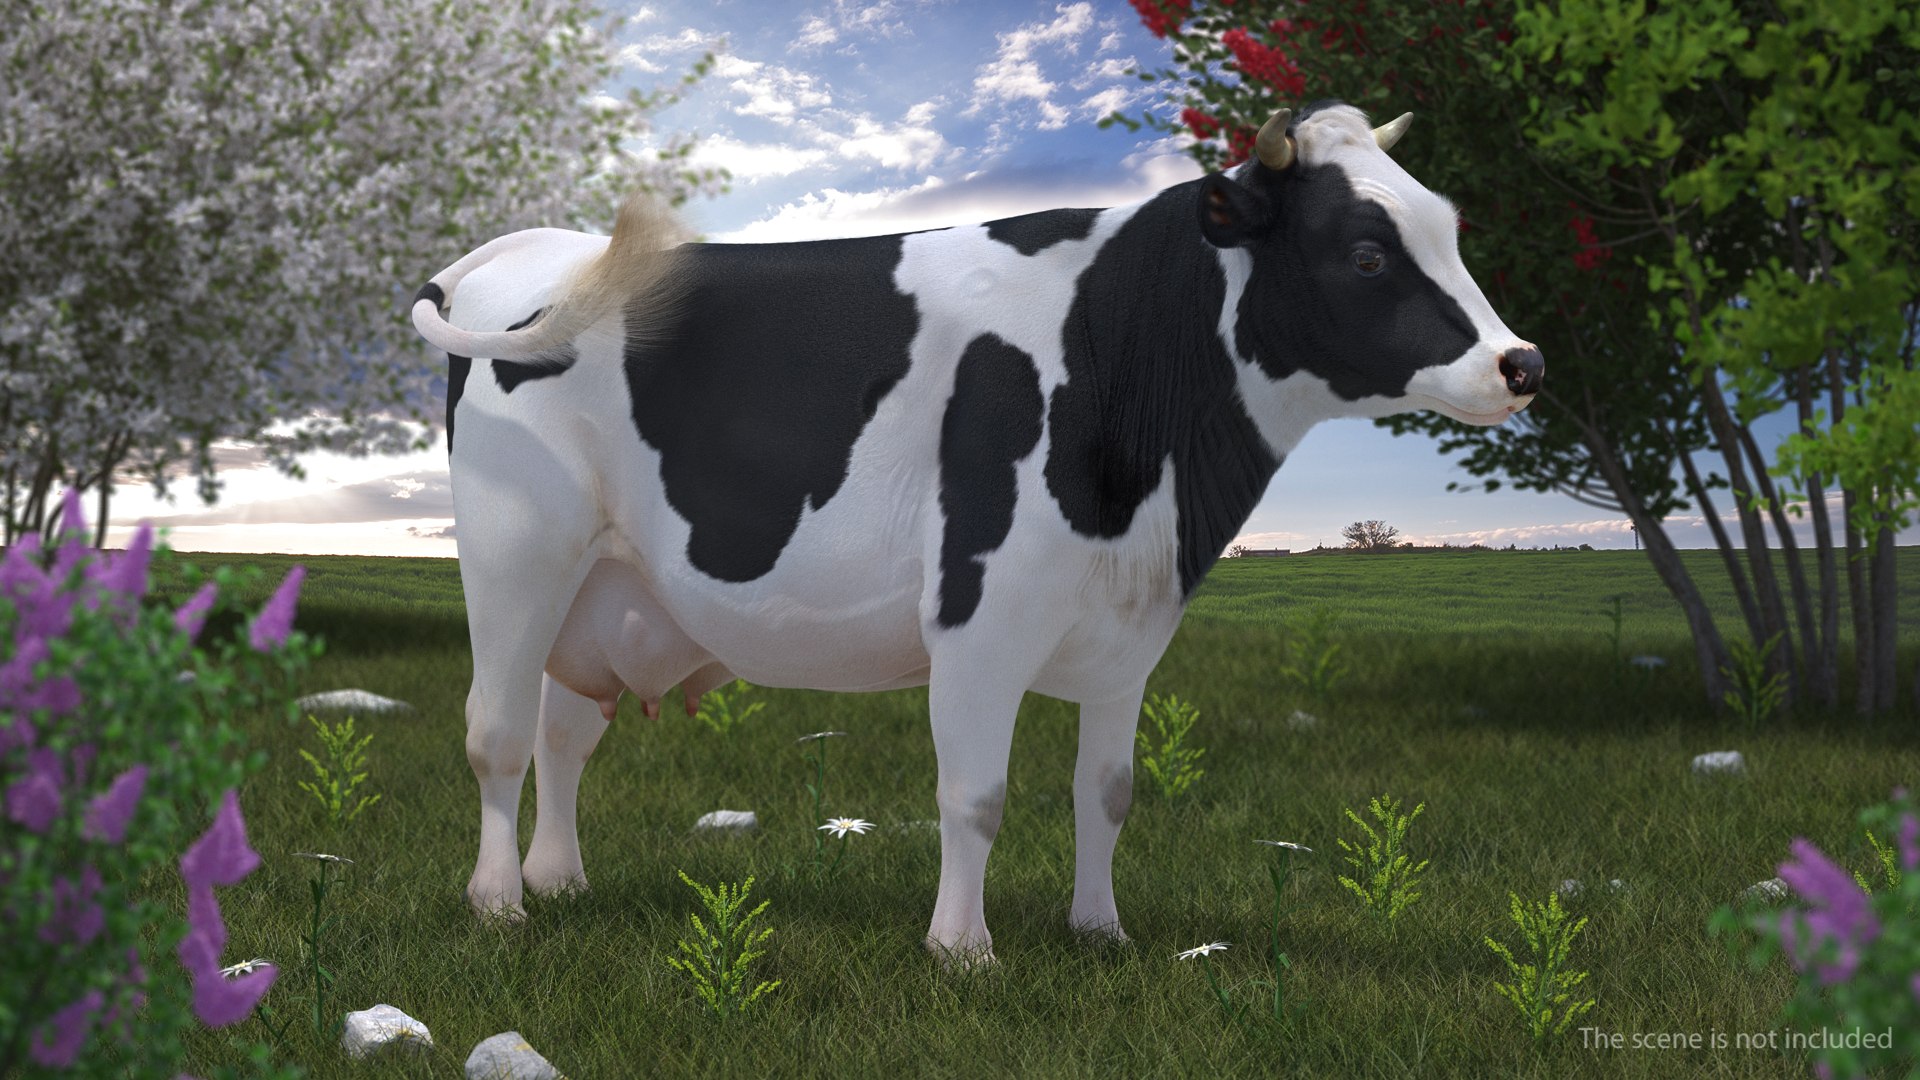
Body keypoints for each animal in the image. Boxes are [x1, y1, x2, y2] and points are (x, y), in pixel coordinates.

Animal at [409, 102, 1543, 965]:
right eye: (1365, 252)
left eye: (1450, 230)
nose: (1522, 362)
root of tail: (536, 250)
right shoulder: (979, 614)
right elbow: (976, 794)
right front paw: (962, 950)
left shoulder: (1129, 630)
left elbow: (1109, 791)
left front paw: (1101, 931)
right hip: (517, 554)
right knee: (496, 731)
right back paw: (497, 902)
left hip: (605, 581)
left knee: (563, 730)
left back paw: (560, 882)